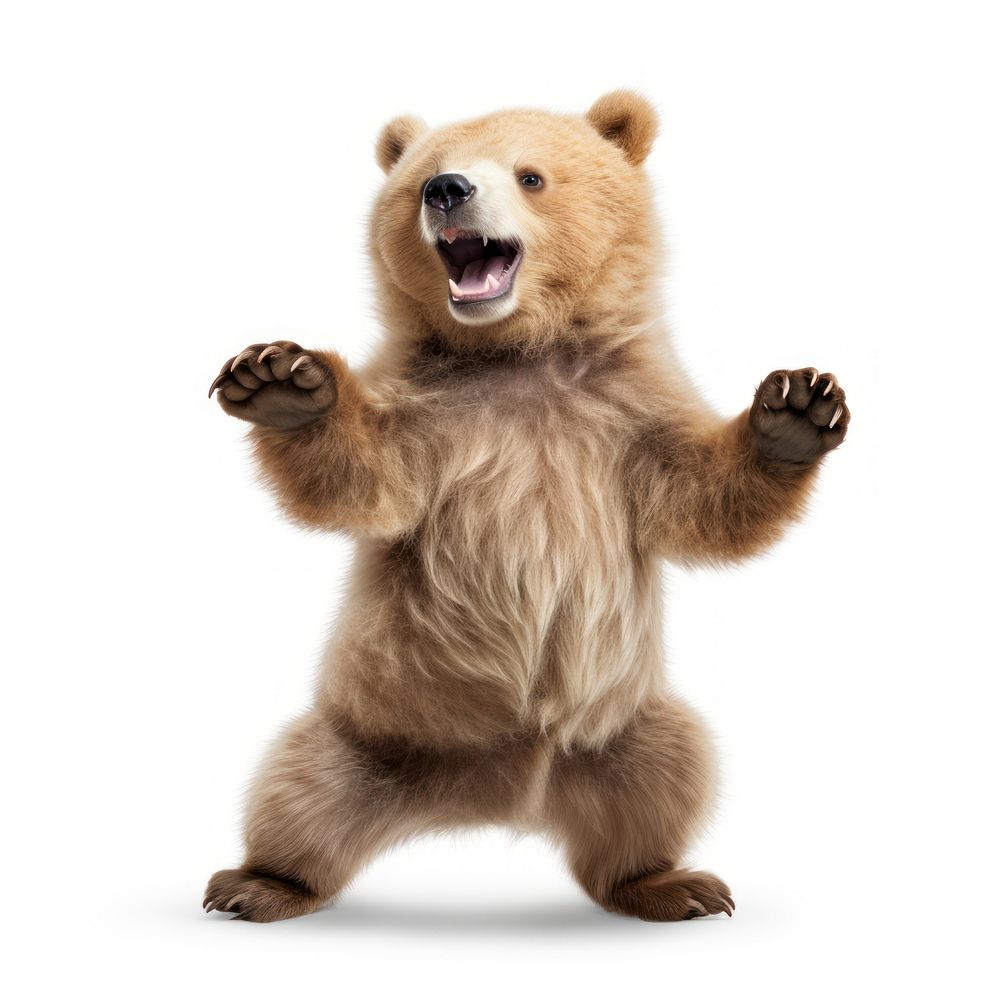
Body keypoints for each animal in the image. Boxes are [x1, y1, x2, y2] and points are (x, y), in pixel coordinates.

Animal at [204, 90, 849, 923]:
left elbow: (703, 500)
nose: (446, 190)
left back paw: (672, 884)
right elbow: (365, 478)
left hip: (622, 730)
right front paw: (281, 379)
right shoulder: (432, 423)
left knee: (672, 776)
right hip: (365, 733)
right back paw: (259, 883)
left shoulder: (626, 418)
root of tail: (492, 798)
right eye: (423, 176)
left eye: (531, 175)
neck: (520, 354)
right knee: (297, 791)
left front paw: (796, 408)